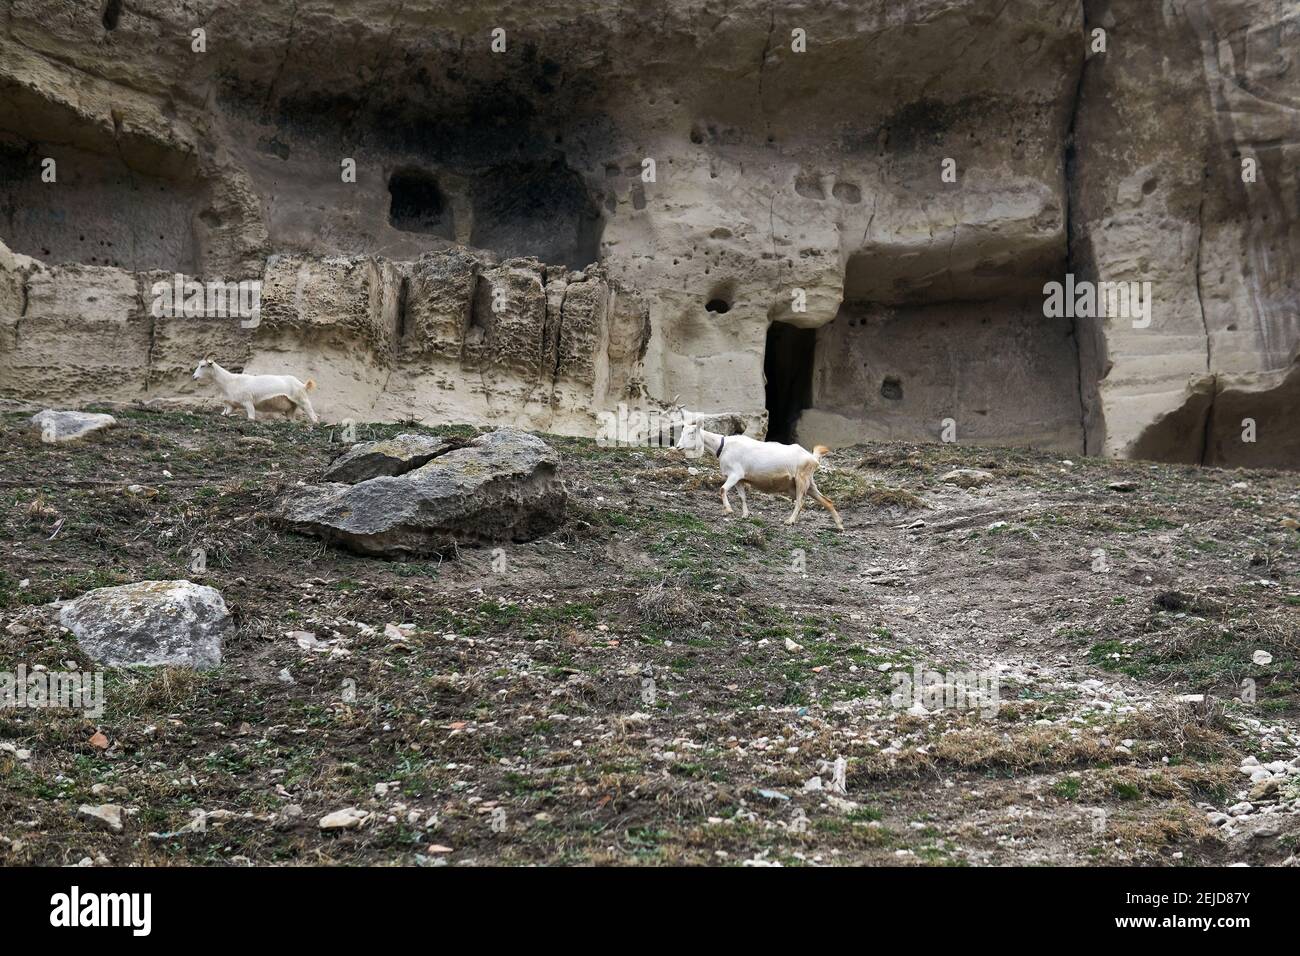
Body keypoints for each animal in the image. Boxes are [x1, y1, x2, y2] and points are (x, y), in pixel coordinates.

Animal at [674, 416, 843, 529]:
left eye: (691, 433)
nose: (678, 447)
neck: (723, 446)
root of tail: (812, 458)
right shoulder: (740, 479)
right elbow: (742, 497)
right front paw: (745, 515)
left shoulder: (735, 474)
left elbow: (722, 489)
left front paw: (728, 510)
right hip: (809, 483)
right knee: (827, 501)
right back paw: (840, 526)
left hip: (801, 479)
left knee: (800, 501)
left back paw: (790, 521)